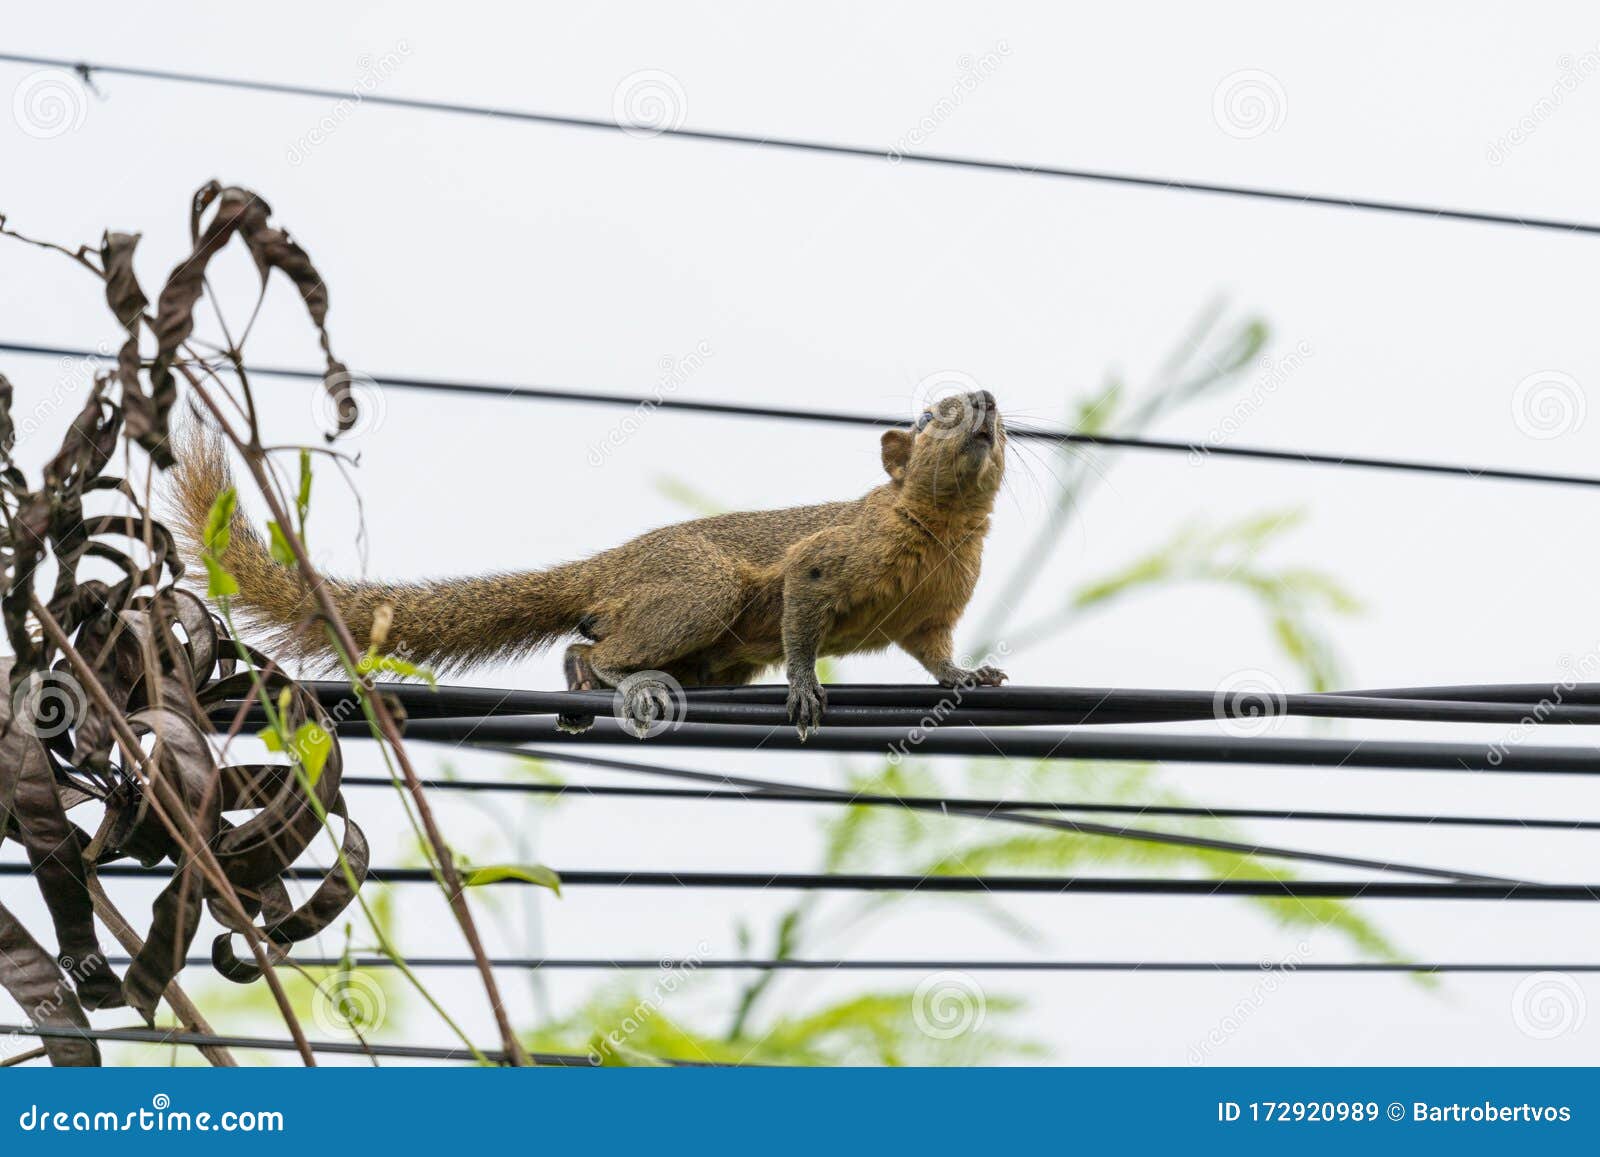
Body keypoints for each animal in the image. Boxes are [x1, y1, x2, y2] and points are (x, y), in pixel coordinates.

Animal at [171, 390, 1008, 738]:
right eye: (934, 414)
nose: (989, 401)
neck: (941, 529)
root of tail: (610, 565)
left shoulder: (937, 608)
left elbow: (933, 653)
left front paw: (968, 676)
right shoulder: (833, 554)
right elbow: (804, 594)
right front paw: (804, 688)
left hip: (719, 650)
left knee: (585, 645)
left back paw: (584, 687)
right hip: (699, 591)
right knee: (601, 643)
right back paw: (620, 682)